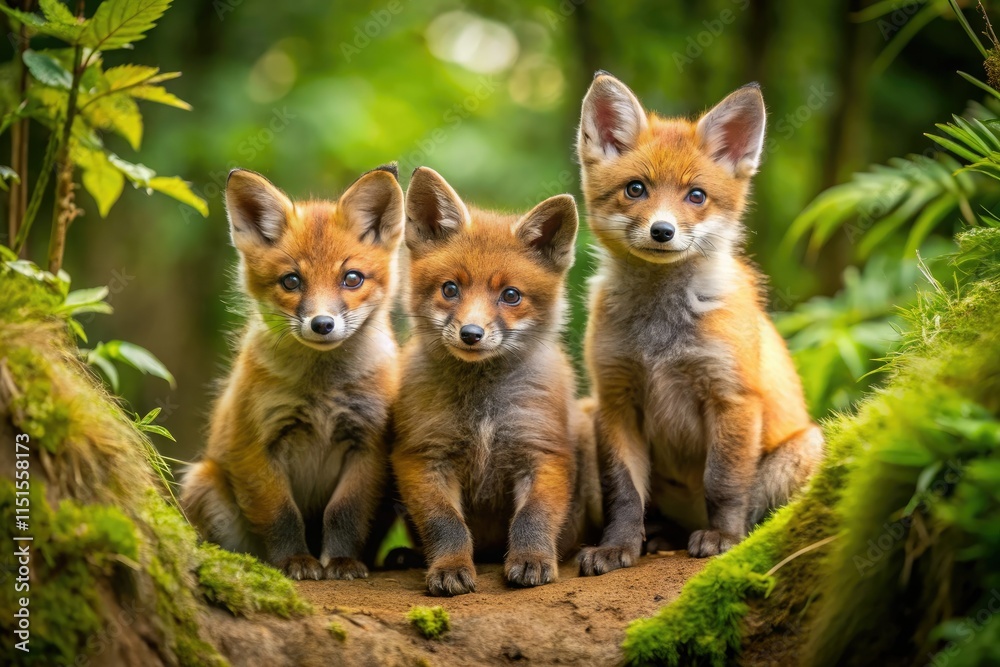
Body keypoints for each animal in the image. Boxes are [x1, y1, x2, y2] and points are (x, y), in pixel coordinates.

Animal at [180, 165, 405, 580]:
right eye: (291, 281)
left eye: (352, 278)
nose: (322, 324)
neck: (322, 391)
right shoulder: (256, 443)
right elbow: (282, 514)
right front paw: (294, 562)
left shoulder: (369, 443)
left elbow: (344, 513)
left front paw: (342, 562)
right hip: (203, 480)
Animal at [391, 166, 602, 597]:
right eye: (450, 289)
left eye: (511, 295)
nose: (471, 333)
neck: (484, 408)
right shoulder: (423, 455)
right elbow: (445, 524)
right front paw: (450, 568)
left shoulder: (541, 450)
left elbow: (533, 518)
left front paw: (532, 561)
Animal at [574, 72, 824, 573]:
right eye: (636, 189)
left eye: (696, 196)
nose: (662, 231)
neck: (659, 337)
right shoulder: (614, 398)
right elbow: (624, 493)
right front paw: (617, 547)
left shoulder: (731, 395)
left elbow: (722, 482)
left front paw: (723, 539)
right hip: (587, 418)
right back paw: (657, 536)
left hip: (805, 447)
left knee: (760, 513)